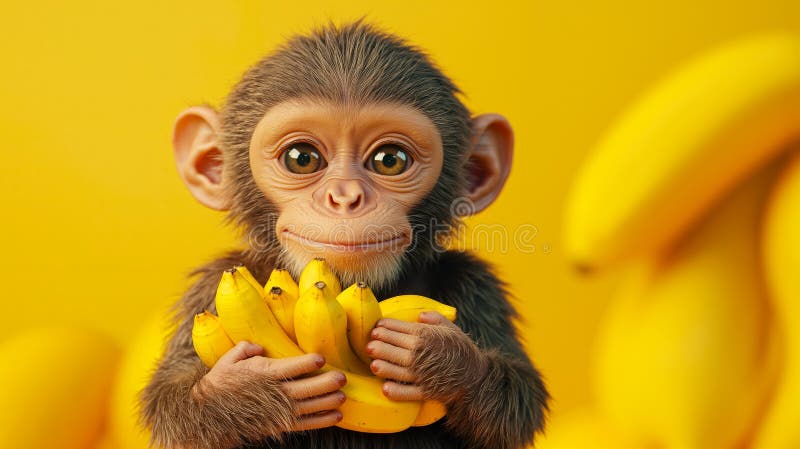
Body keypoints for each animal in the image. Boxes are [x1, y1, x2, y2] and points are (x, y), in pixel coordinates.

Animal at [141, 20, 549, 449]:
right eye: (302, 158)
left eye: (390, 160)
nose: (345, 197)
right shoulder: (208, 288)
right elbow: (173, 407)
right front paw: (244, 386)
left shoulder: (477, 284)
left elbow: (518, 402)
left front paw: (443, 356)